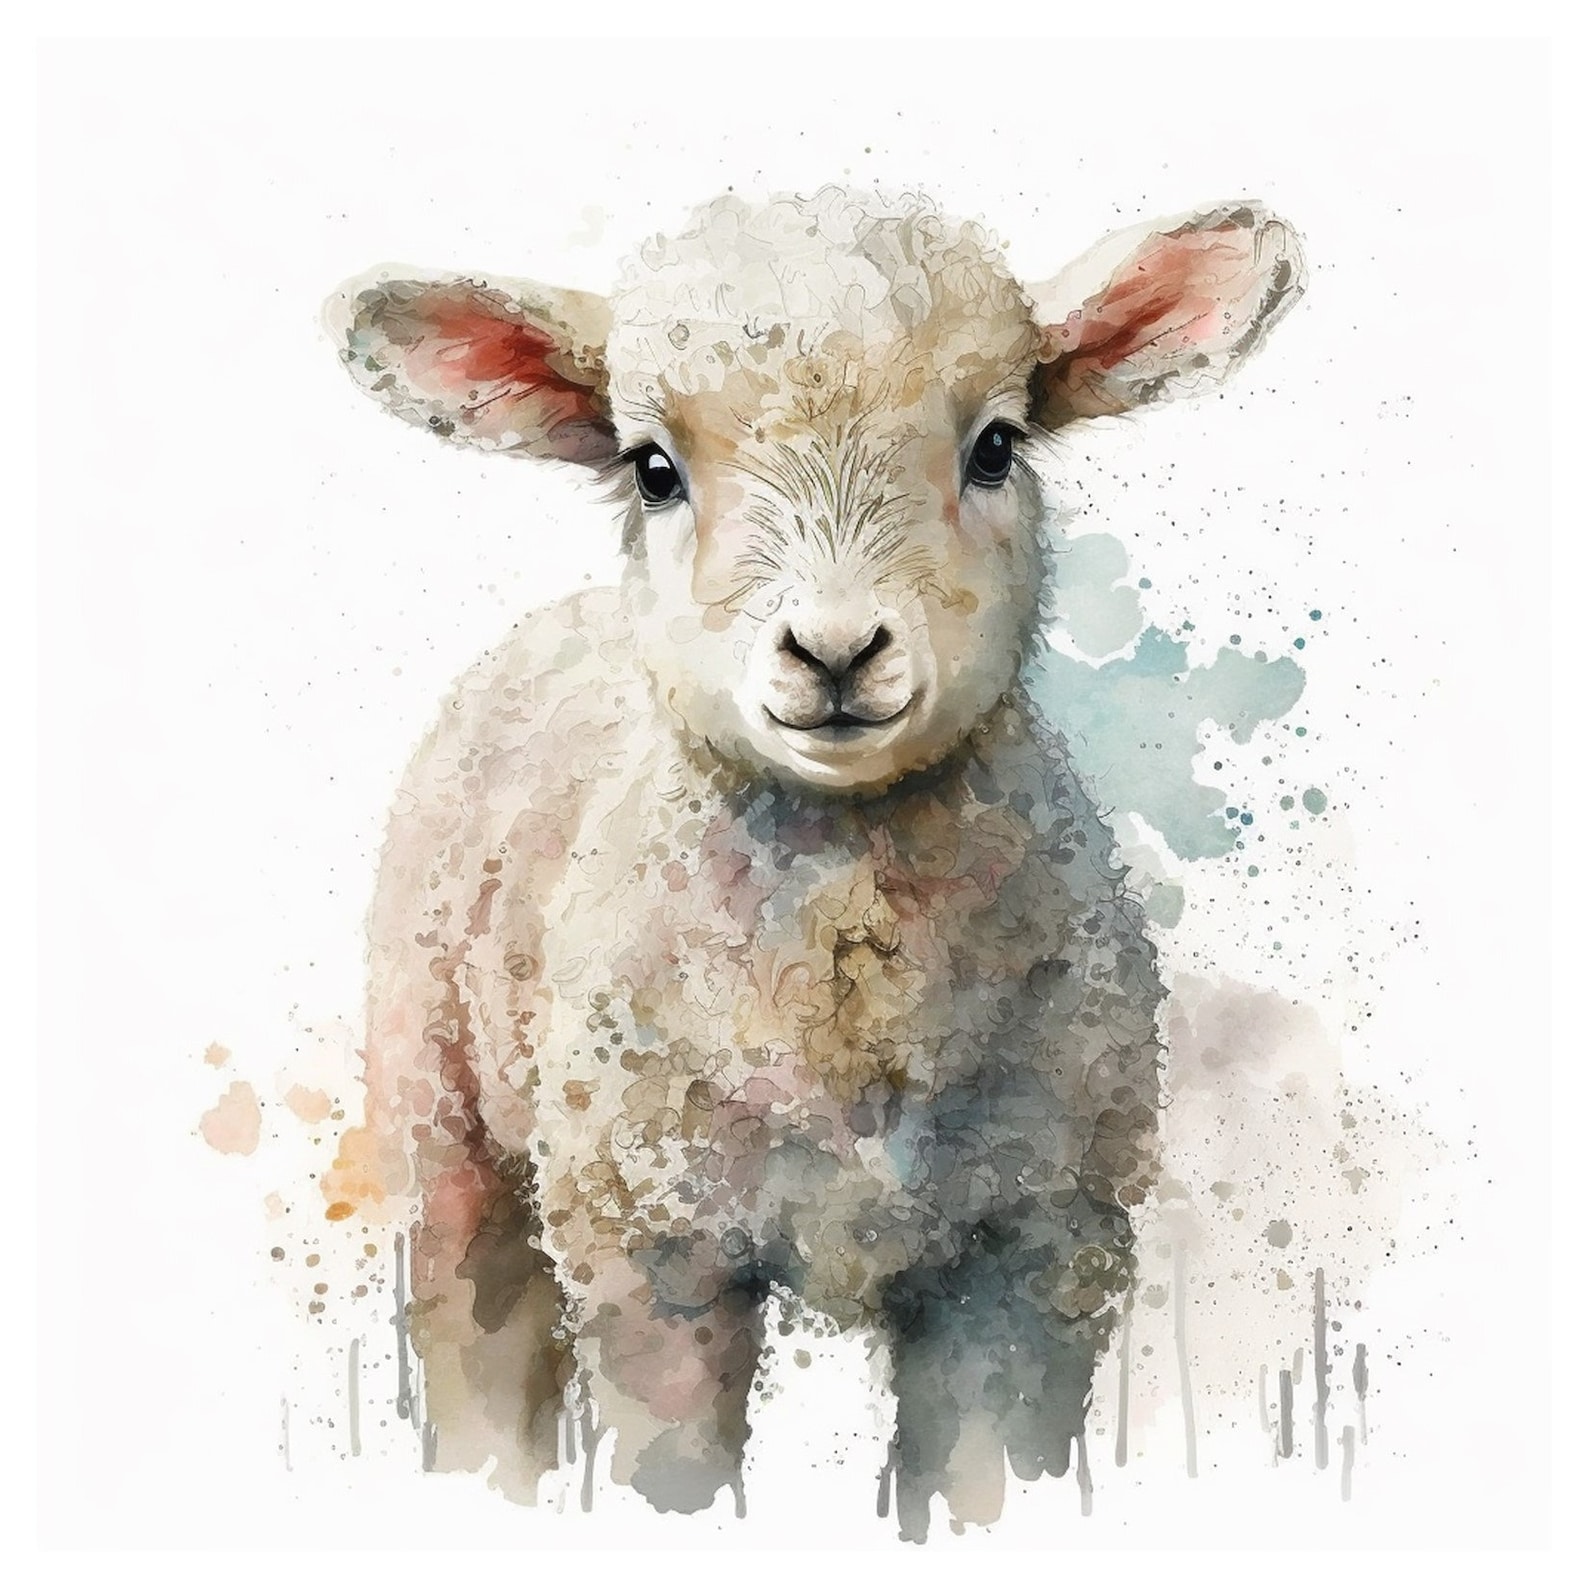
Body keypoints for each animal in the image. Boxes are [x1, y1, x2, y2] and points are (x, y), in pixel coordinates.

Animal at [320, 187, 1304, 1541]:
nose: (835, 651)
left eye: (996, 446)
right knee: (479, 1351)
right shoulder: (653, 1253)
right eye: (652, 468)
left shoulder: (1034, 1256)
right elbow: (671, 1477)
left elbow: (989, 1482)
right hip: (446, 1124)